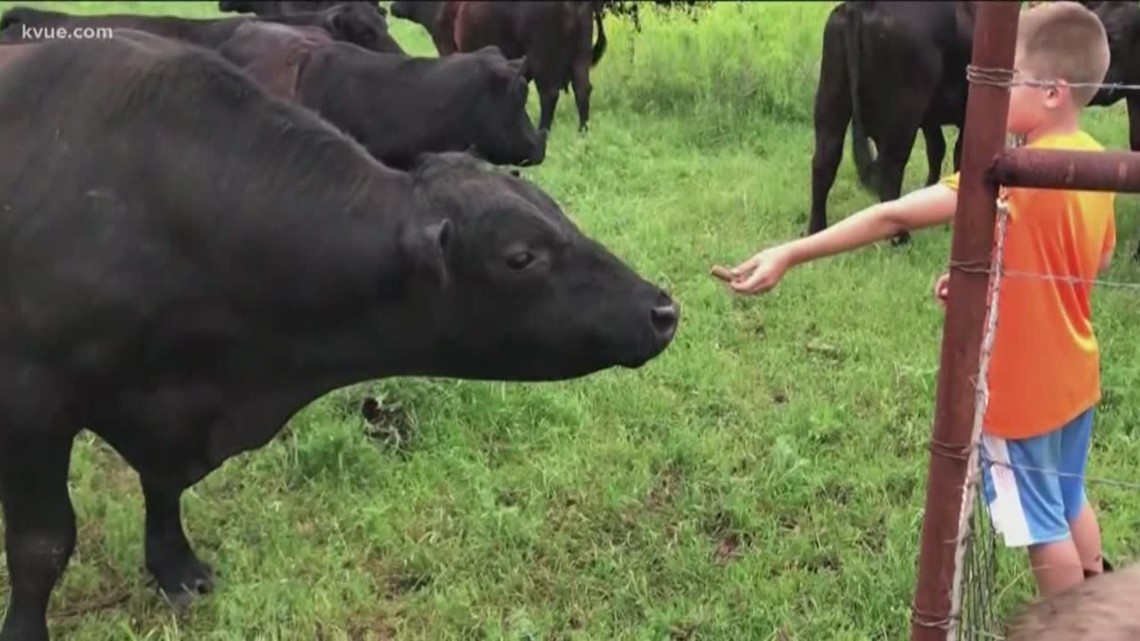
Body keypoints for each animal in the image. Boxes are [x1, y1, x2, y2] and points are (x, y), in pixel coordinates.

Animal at [389, 1, 607, 134]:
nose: (392, 6)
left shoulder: (447, 46)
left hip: (542, 54)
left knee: (549, 94)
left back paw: (543, 130)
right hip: (580, 52)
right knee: (582, 89)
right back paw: (583, 131)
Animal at [810, 1, 975, 246]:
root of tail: (860, 5)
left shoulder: (929, 116)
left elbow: (937, 149)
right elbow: (958, 156)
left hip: (832, 99)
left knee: (824, 161)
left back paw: (816, 230)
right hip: (904, 114)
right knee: (890, 169)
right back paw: (901, 238)